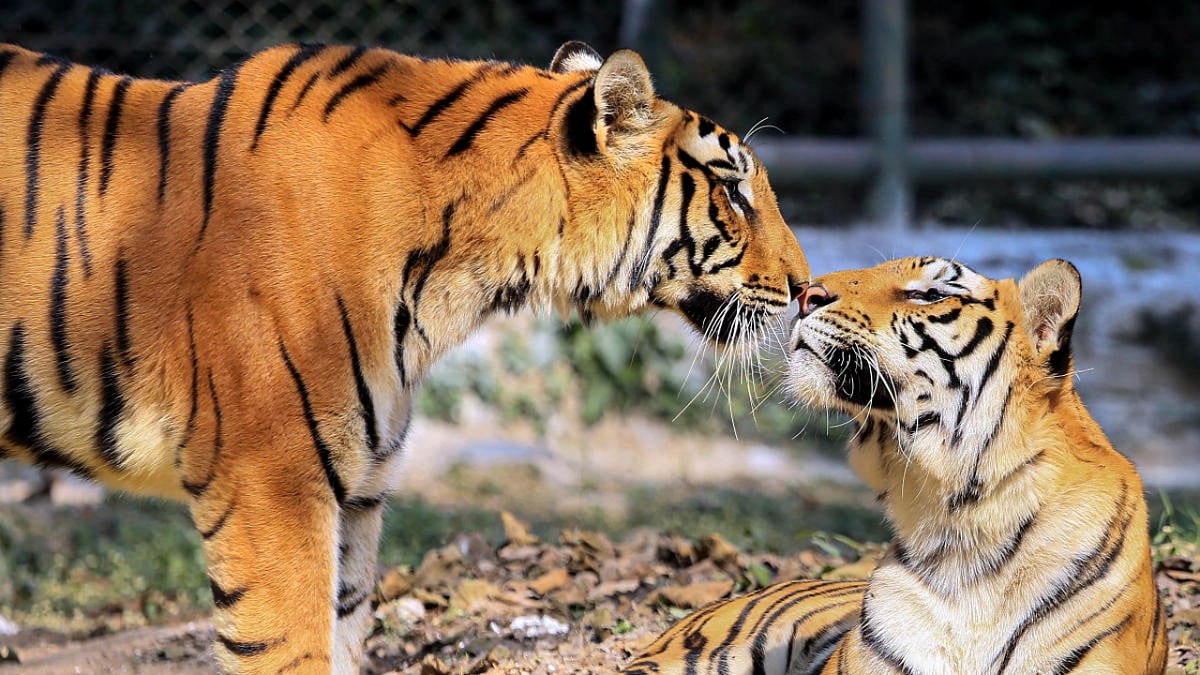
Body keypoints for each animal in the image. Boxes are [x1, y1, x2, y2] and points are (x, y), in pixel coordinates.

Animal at [0, 40, 810, 673]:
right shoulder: (272, 480)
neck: (465, 281)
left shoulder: (356, 486)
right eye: (734, 191)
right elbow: (289, 646)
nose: (807, 289)